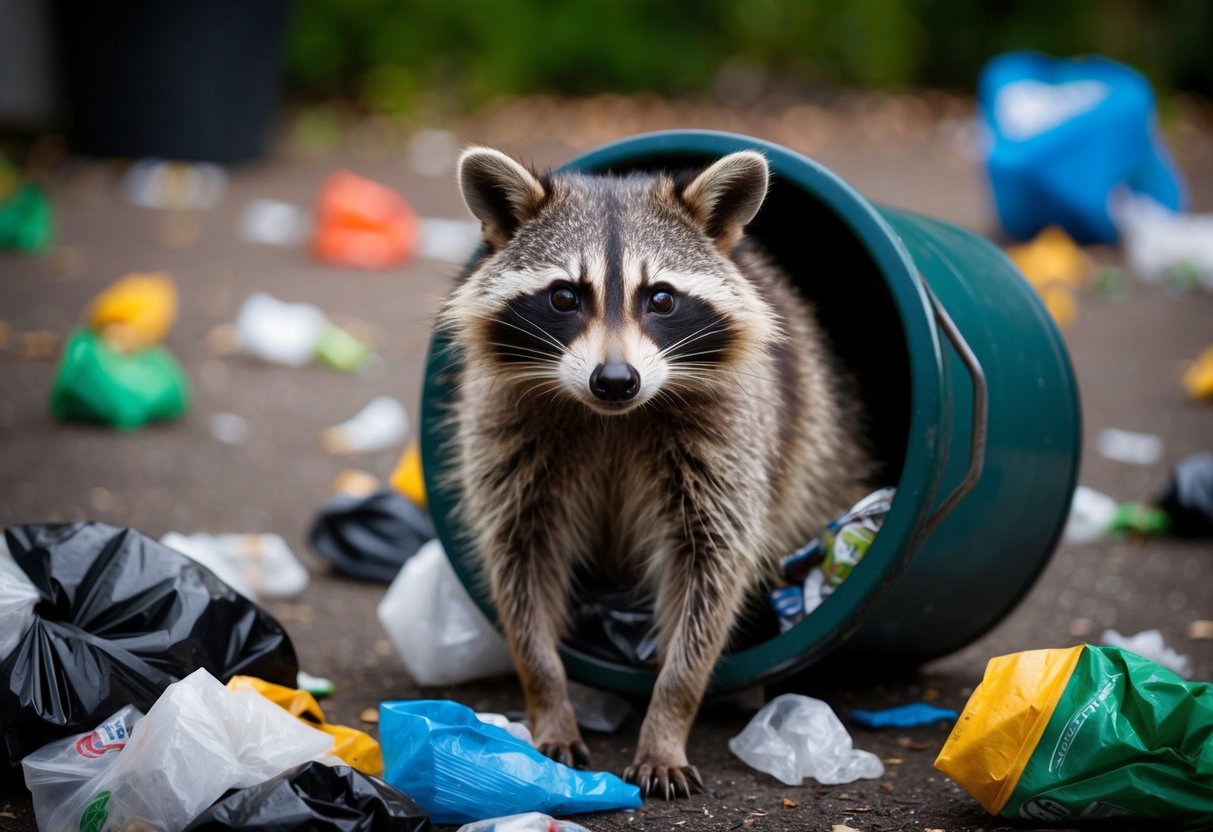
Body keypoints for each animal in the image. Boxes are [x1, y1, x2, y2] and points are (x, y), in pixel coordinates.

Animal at [439, 147, 873, 799]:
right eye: (564, 297)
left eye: (661, 298)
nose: (616, 381)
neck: (612, 417)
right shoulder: (505, 436)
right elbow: (520, 559)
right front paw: (548, 695)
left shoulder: (732, 437)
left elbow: (710, 568)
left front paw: (669, 716)